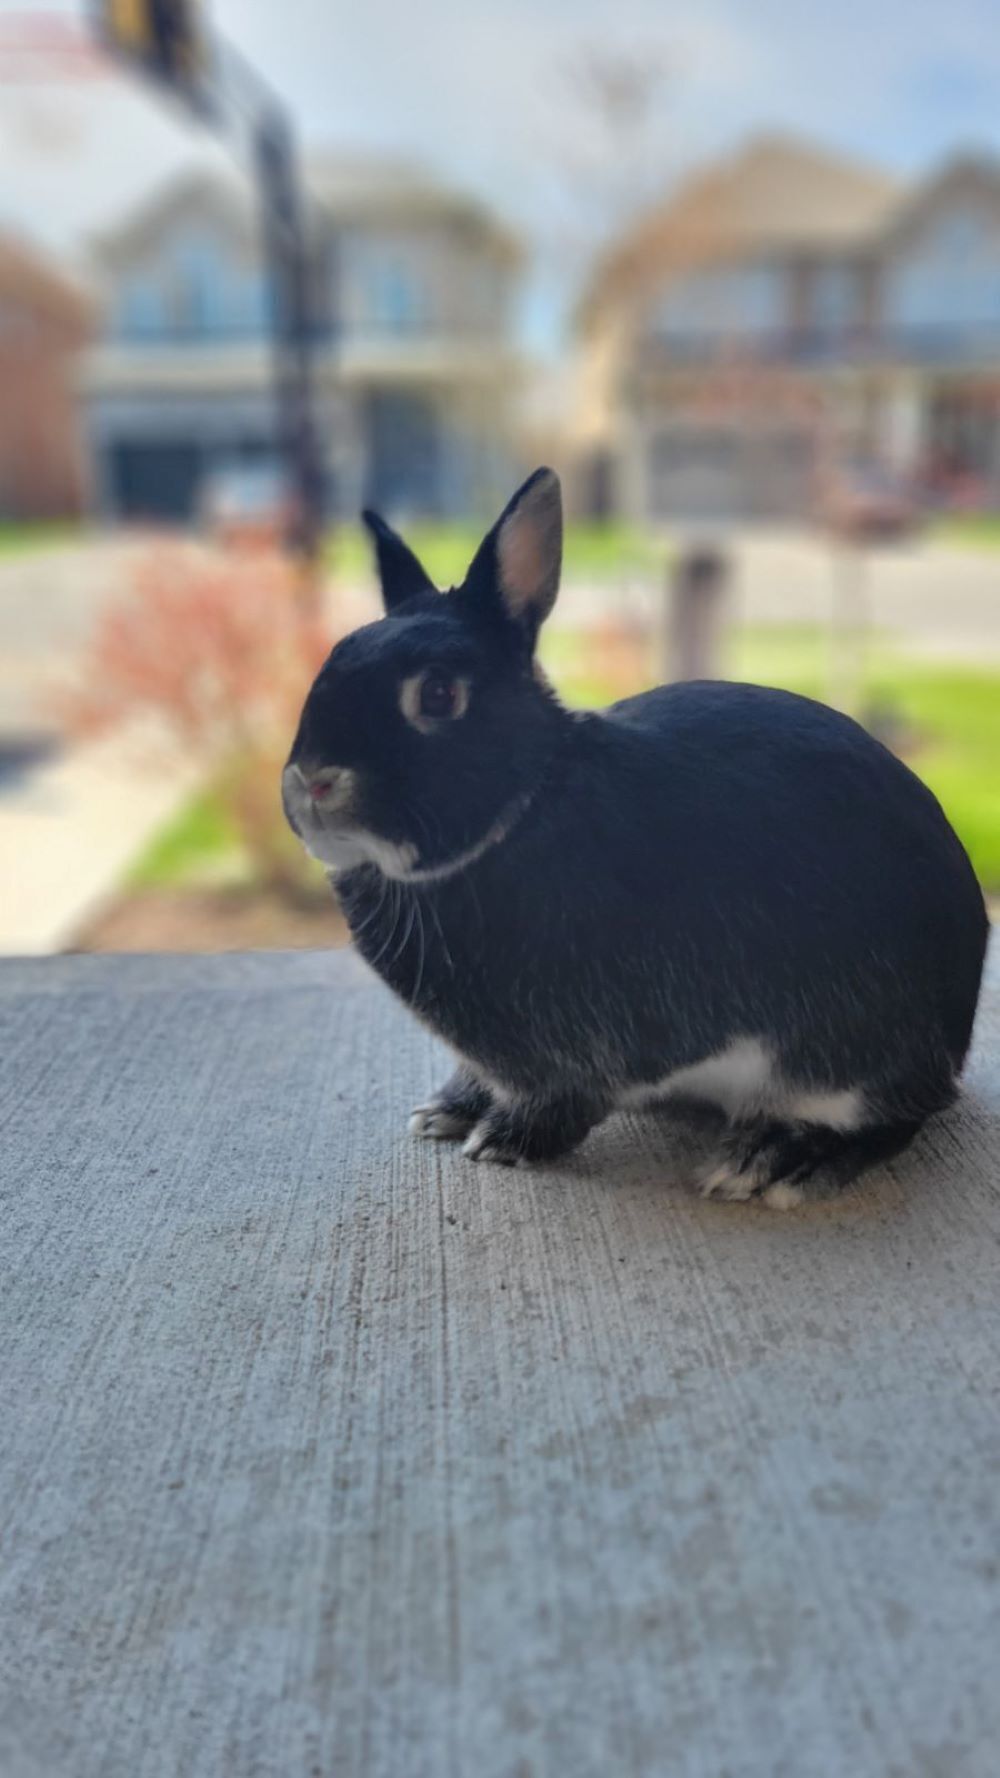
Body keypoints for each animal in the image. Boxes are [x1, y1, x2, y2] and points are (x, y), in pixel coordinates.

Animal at [282, 468, 989, 1206]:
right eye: (331, 658)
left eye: (440, 695)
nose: (312, 780)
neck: (526, 804)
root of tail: (952, 1036)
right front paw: (447, 1111)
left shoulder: (592, 1044)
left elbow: (571, 1097)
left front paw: (506, 1142)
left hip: (848, 1054)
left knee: (896, 1118)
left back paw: (776, 1160)